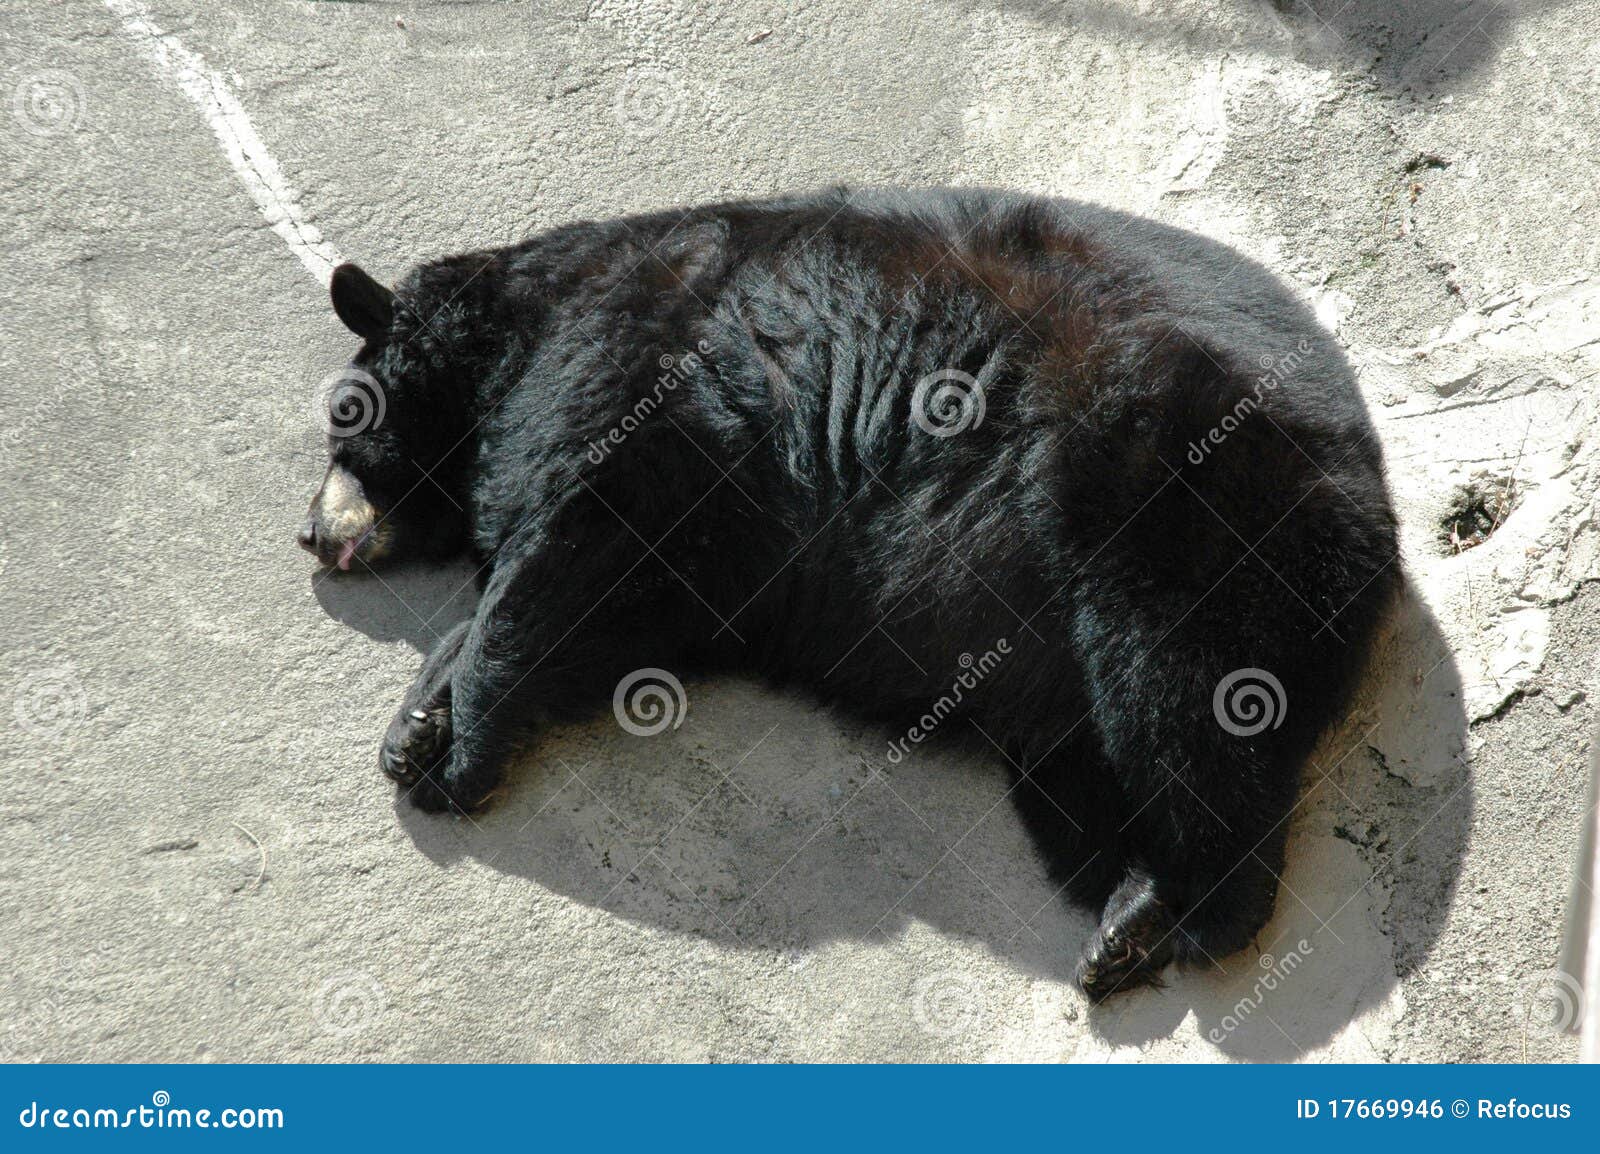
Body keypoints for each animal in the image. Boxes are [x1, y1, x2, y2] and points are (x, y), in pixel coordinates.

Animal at [299, 187, 1400, 1000]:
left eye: (344, 418)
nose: (310, 530)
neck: (517, 337)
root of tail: (1380, 519)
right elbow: (593, 607)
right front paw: (418, 722)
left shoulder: (640, 373)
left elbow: (585, 540)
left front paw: (462, 749)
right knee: (1098, 771)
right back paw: (1133, 906)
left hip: (1179, 489)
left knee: (1192, 694)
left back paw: (1185, 913)